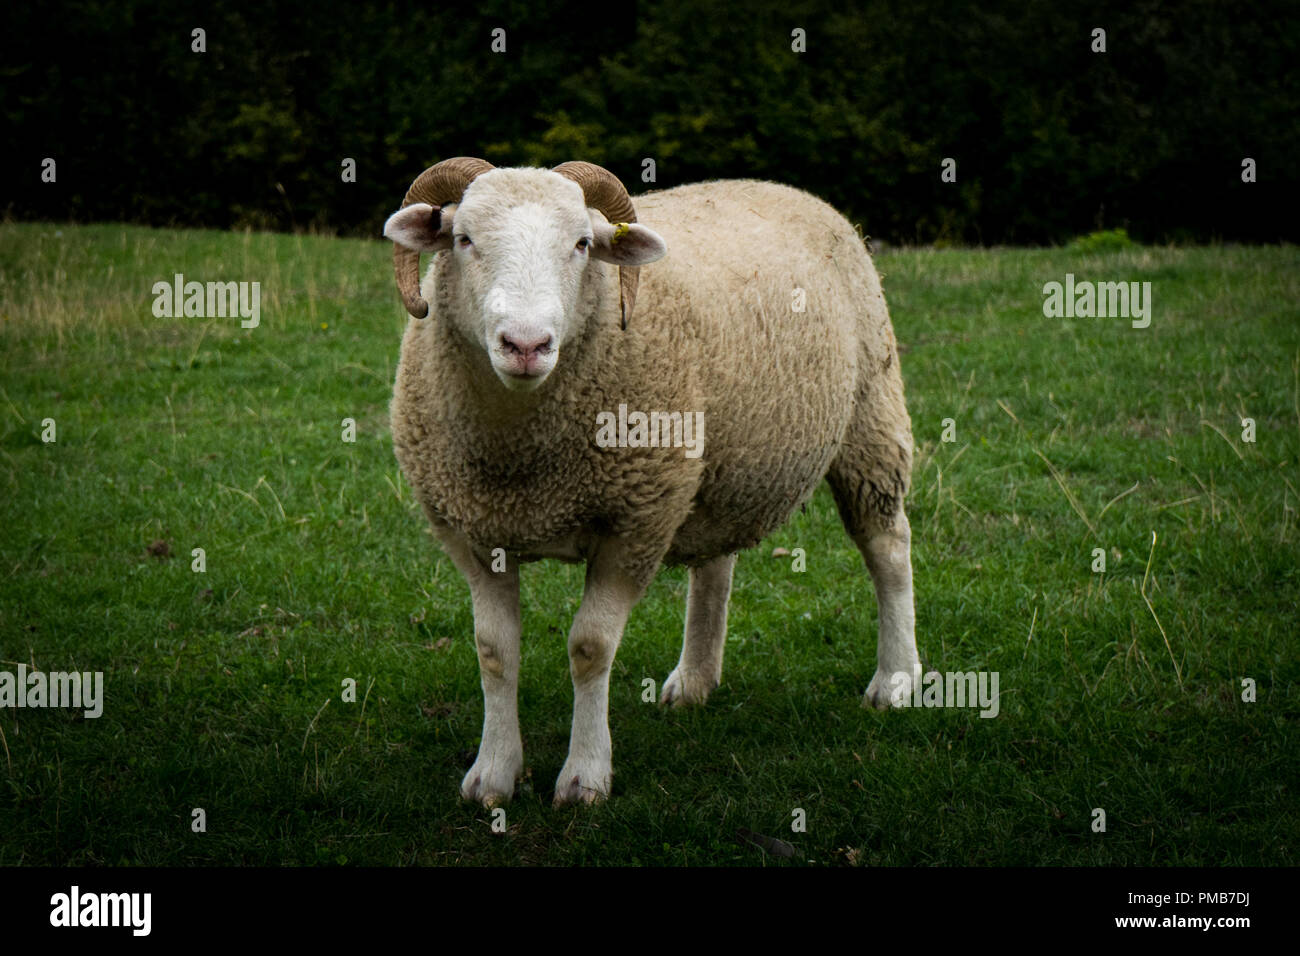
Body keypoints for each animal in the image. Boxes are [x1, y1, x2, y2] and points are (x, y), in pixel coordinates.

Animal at [383, 158, 920, 807]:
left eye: (582, 245)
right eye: (463, 239)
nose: (526, 345)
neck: (521, 456)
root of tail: (783, 188)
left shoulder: (635, 524)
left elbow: (589, 649)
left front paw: (585, 776)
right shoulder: (474, 534)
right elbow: (494, 652)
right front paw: (493, 773)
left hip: (870, 414)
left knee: (887, 547)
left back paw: (896, 679)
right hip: (715, 468)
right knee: (716, 565)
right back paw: (694, 680)